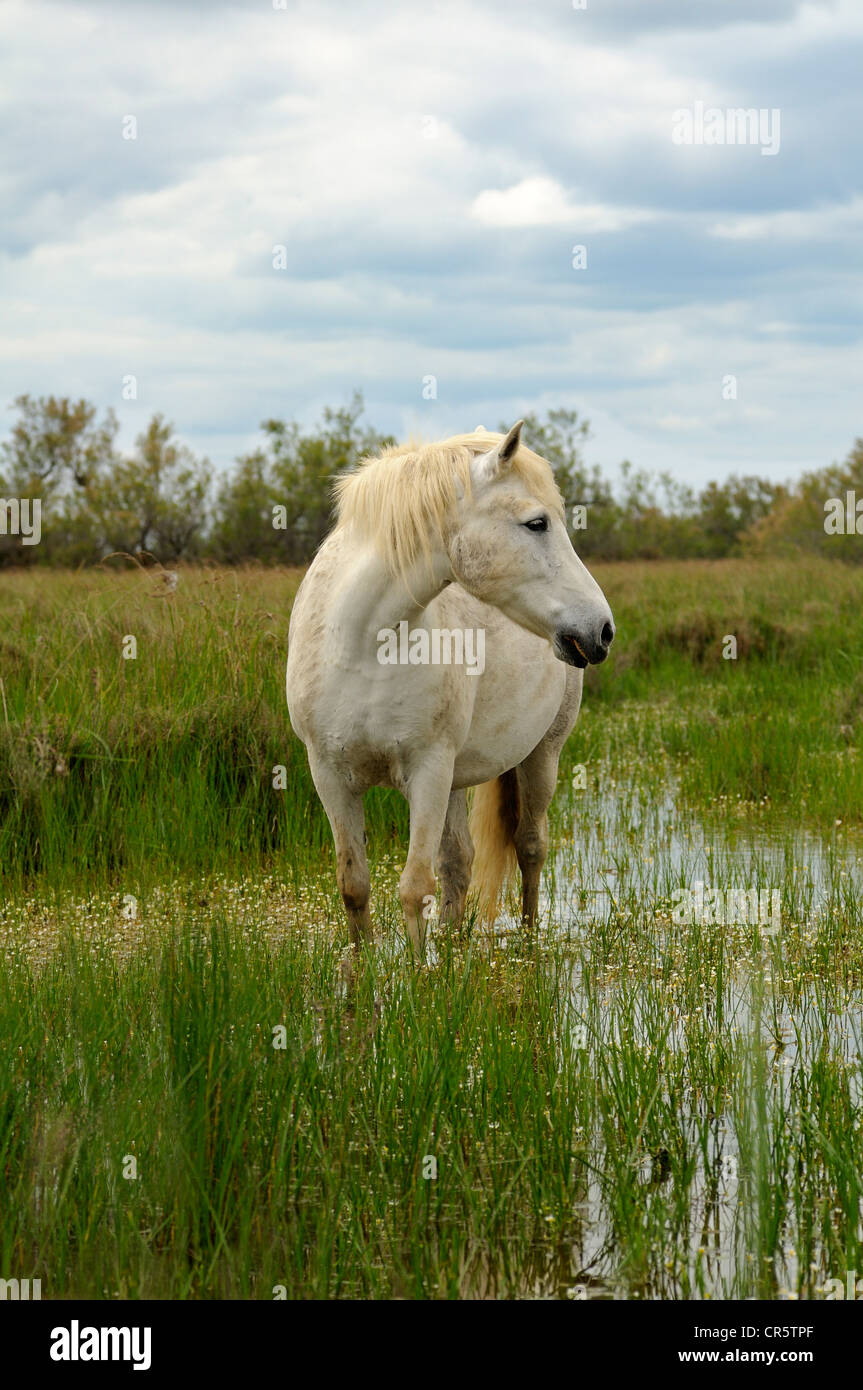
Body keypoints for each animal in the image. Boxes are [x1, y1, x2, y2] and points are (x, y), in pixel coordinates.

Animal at [286, 421, 614, 951]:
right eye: (537, 523)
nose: (601, 630)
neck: (361, 645)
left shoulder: (428, 771)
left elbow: (414, 888)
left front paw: (420, 974)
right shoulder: (330, 776)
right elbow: (354, 886)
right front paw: (363, 969)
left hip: (541, 755)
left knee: (530, 846)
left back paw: (527, 940)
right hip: (457, 778)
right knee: (459, 862)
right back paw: (456, 944)